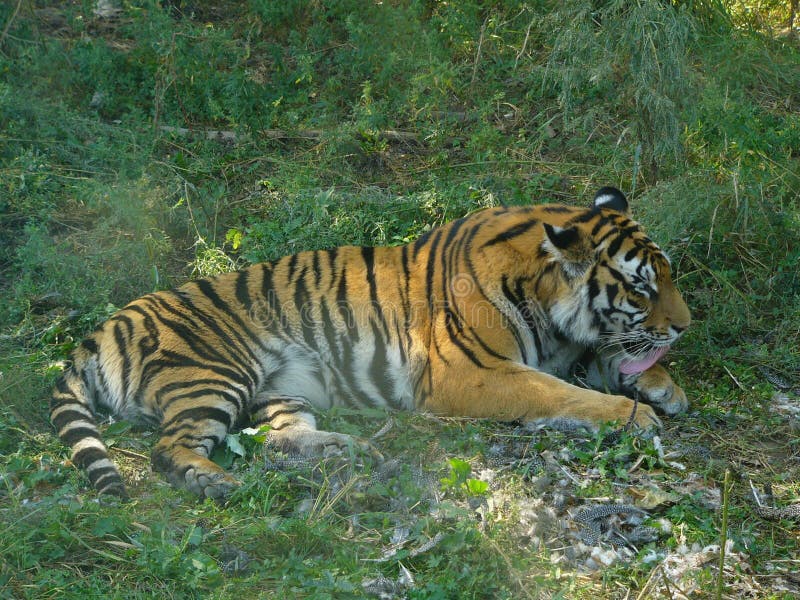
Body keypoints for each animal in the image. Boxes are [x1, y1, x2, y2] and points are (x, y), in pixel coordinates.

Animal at [50, 186, 690, 499]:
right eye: (641, 286)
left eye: (667, 275)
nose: (684, 325)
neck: (547, 302)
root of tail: (107, 325)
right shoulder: (470, 373)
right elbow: (556, 392)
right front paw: (633, 415)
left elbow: (609, 357)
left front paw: (665, 387)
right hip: (215, 373)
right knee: (170, 448)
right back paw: (213, 482)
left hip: (281, 388)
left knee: (279, 441)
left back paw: (350, 451)